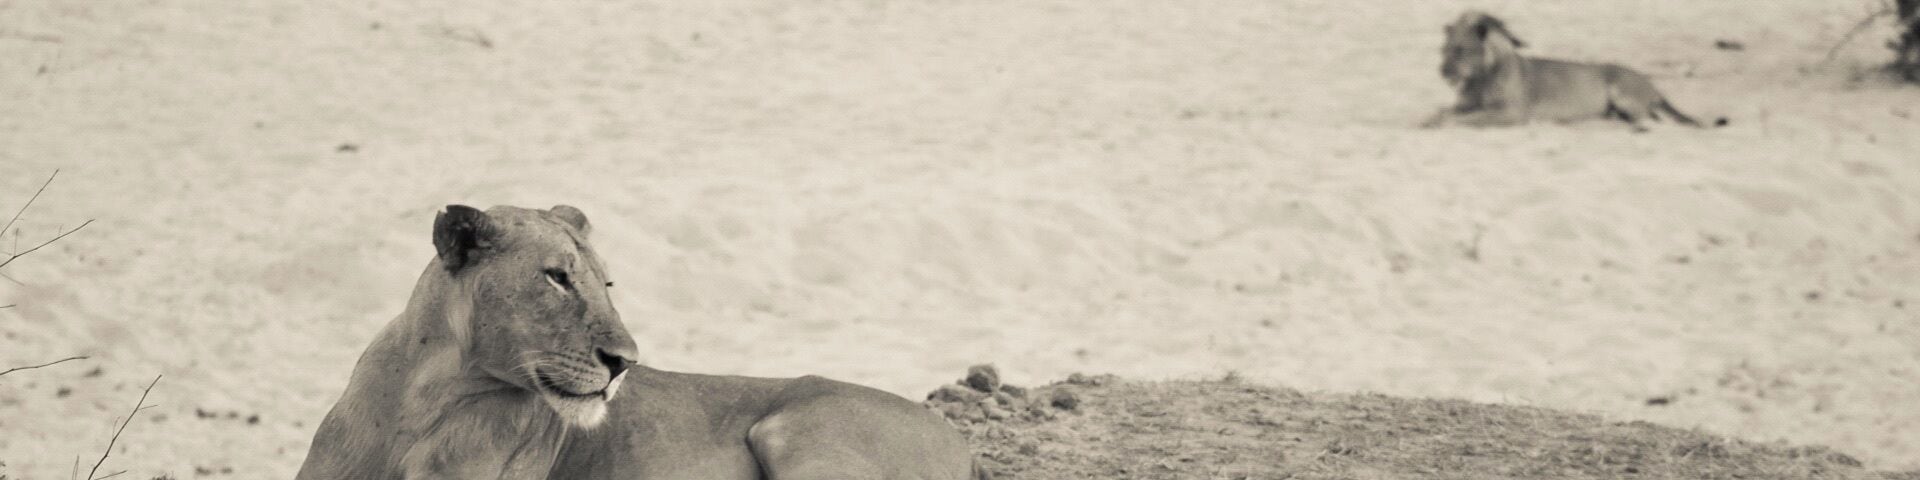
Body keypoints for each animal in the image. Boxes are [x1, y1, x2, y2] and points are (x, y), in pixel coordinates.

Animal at [295, 205, 981, 479]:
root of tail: (964, 445)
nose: (624, 363)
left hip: (796, 432)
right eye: (557, 277)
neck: (424, 401)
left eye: (606, 282)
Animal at [1420, 10, 1728, 130]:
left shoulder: (1513, 114)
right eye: (1444, 49)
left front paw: (1442, 124)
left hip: (1623, 93)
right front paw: (1426, 120)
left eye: (1461, 50)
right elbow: (1442, 112)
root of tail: (1650, 83)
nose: (1442, 72)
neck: (1479, 79)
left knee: (1651, 120)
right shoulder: (1465, 104)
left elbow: (1464, 120)